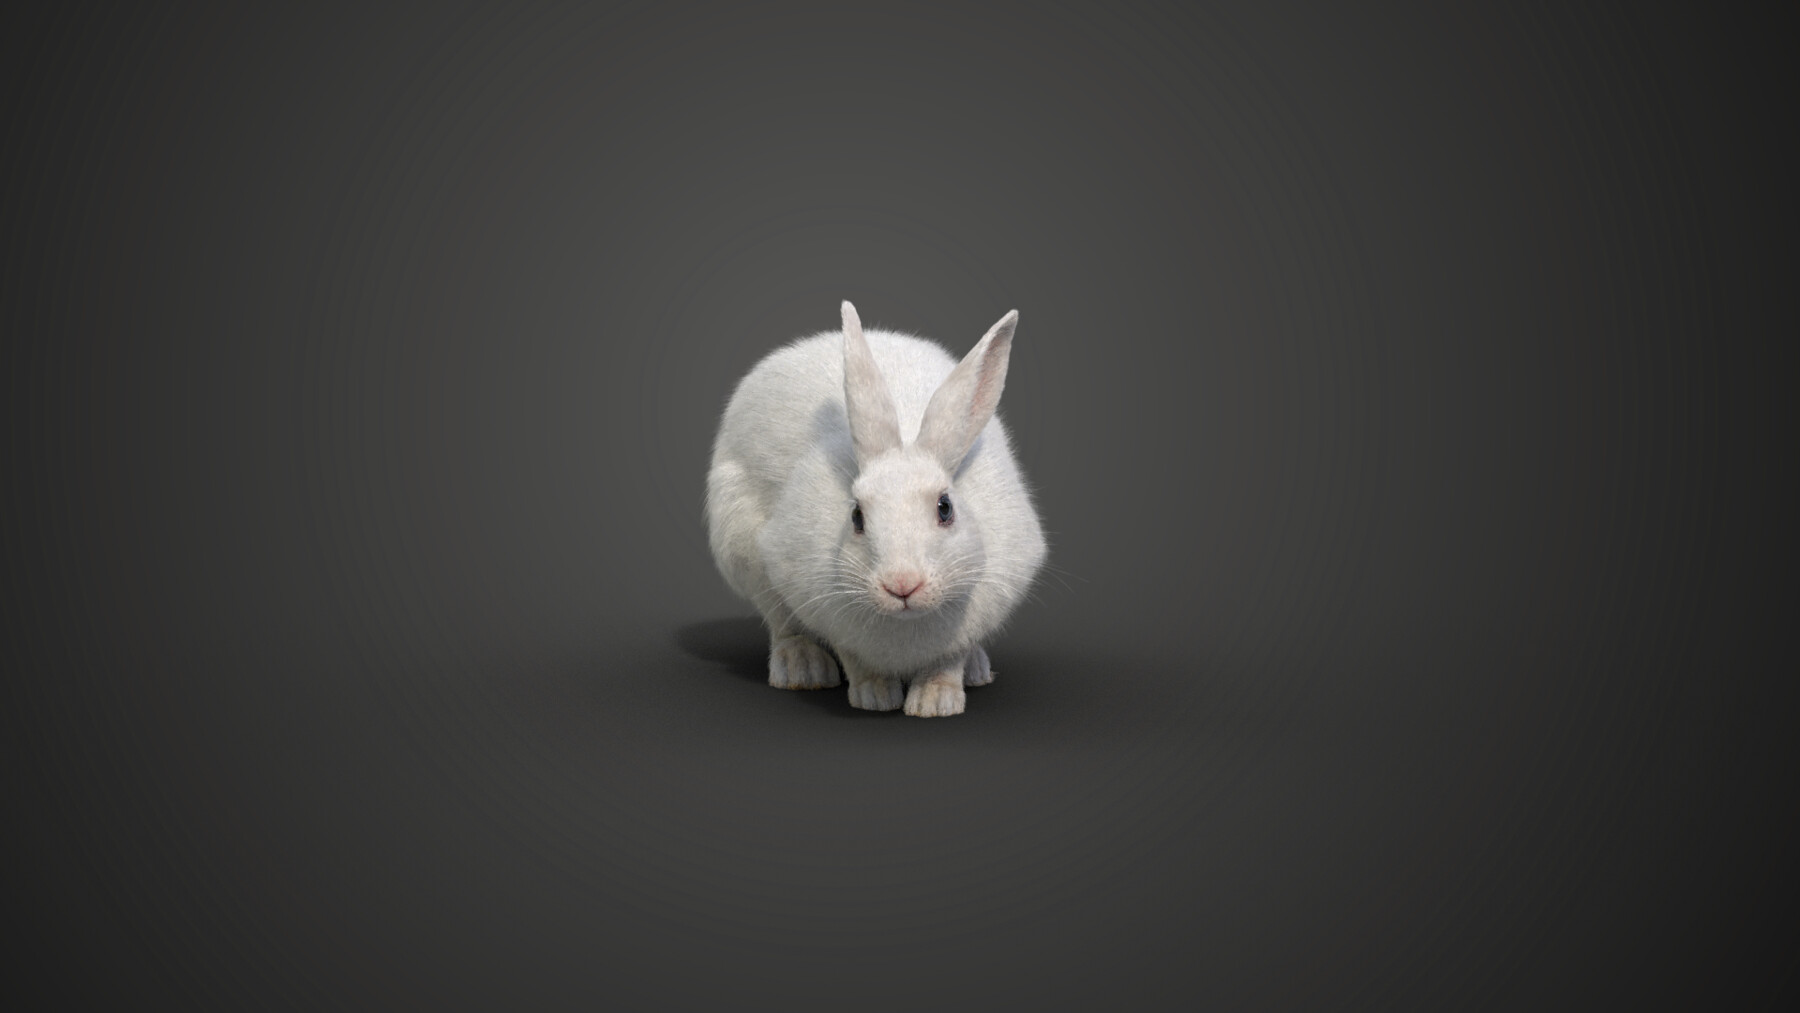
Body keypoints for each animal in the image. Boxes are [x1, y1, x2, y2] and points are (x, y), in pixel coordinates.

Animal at [705, 301, 1047, 717]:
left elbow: (948, 661)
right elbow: (855, 660)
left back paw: (977, 670)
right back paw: (802, 667)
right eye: (856, 516)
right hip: (742, 547)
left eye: (945, 508)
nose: (902, 584)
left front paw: (936, 702)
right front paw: (875, 697)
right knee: (781, 623)